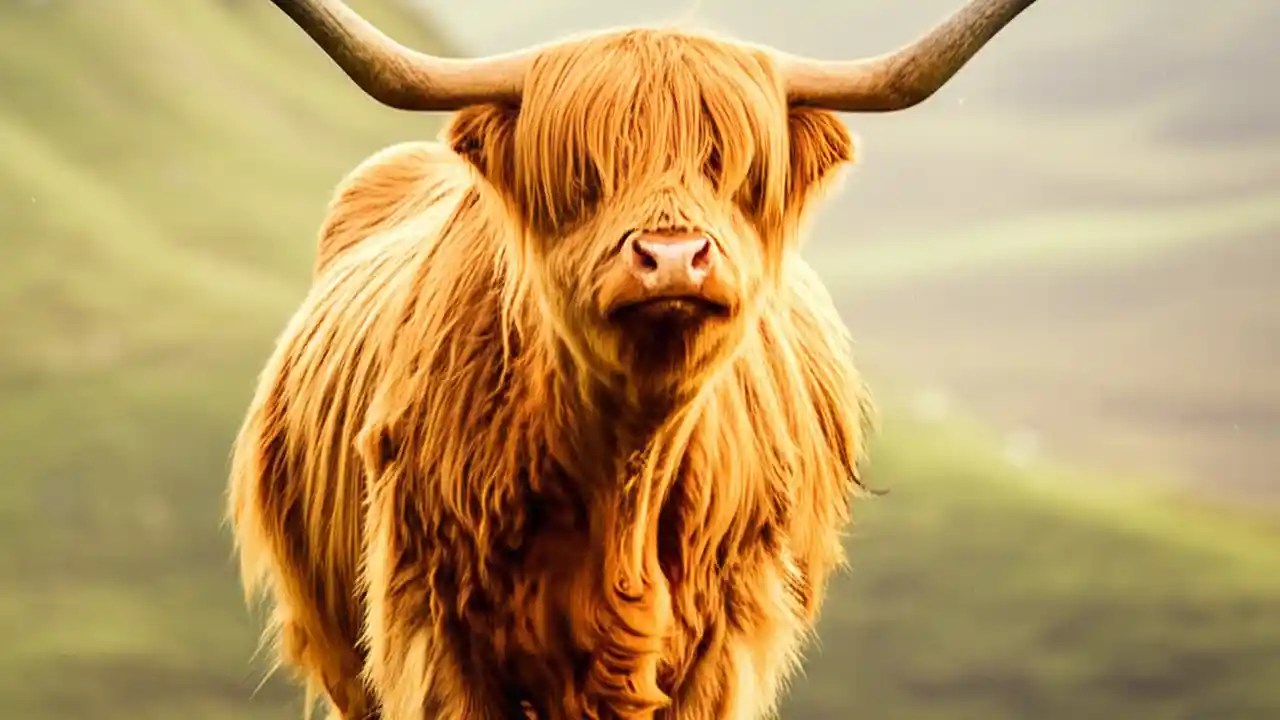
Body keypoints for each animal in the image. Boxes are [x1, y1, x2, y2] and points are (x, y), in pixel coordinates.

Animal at [225, 1, 1043, 718]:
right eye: (584, 173)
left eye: (735, 169)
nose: (673, 258)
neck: (628, 477)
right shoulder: (432, 631)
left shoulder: (726, 646)